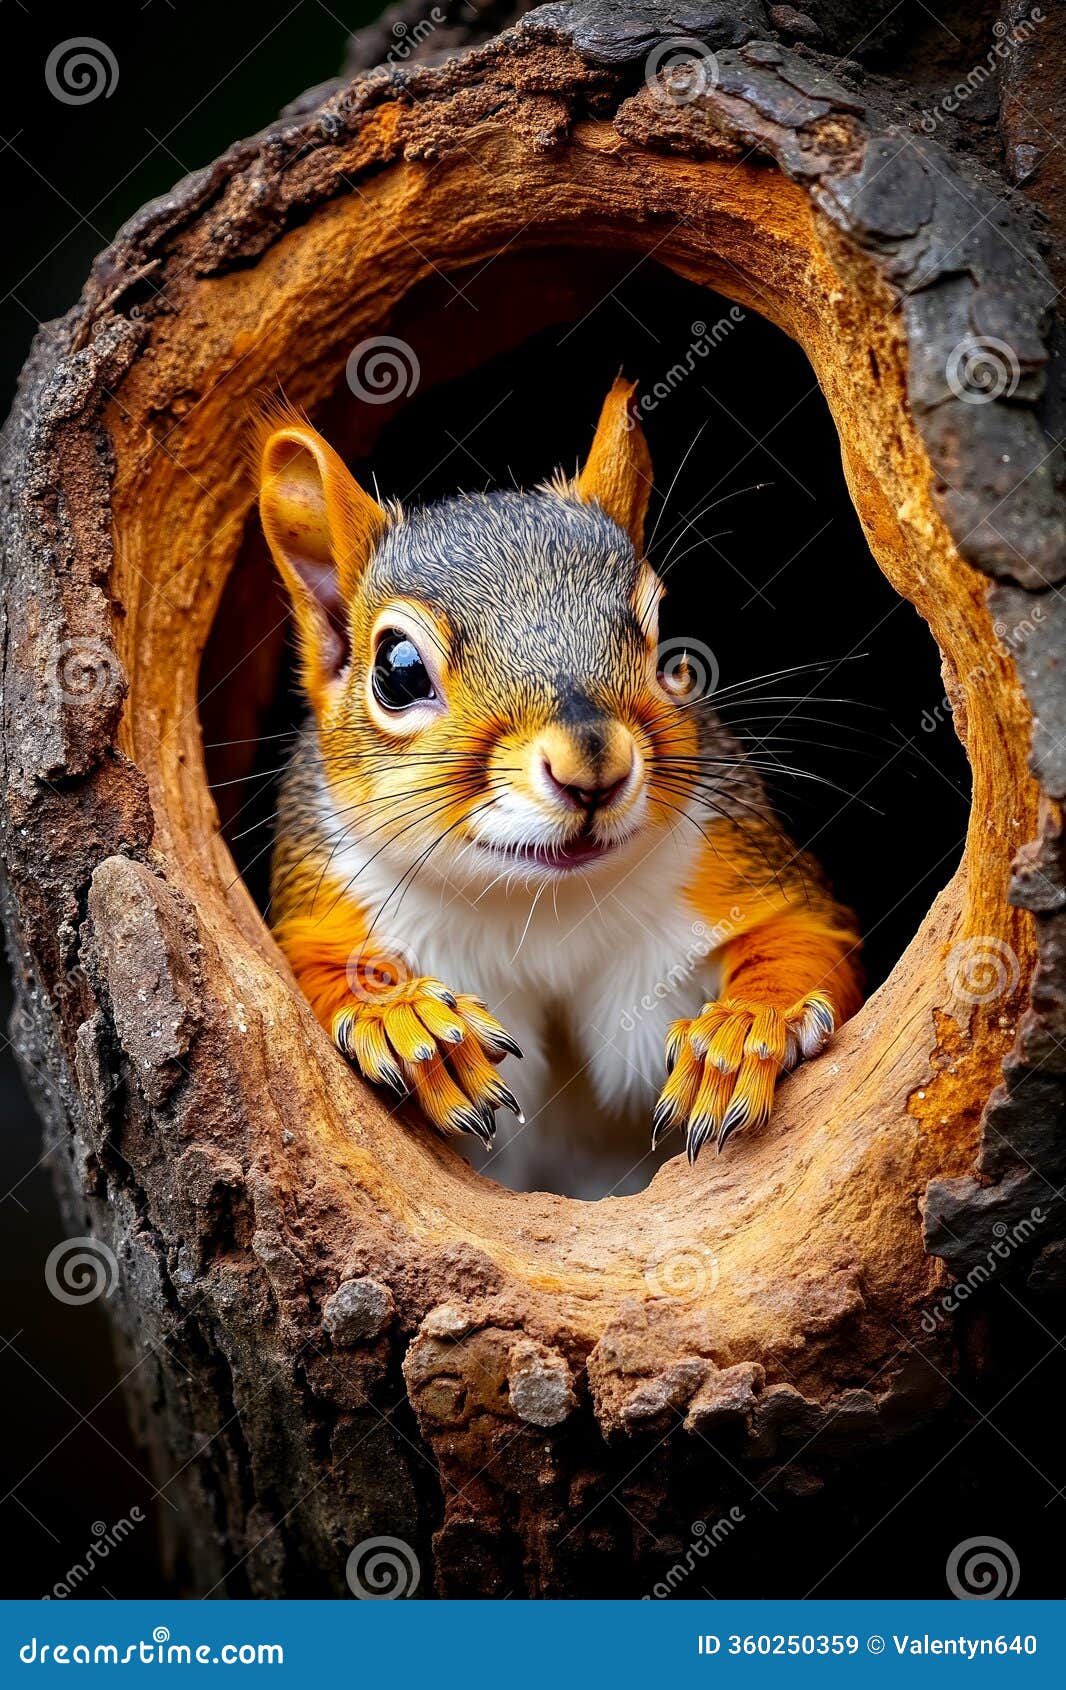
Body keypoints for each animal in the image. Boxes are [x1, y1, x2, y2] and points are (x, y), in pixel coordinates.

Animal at [255, 378, 863, 1195]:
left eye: (662, 634)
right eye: (398, 671)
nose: (591, 767)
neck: (540, 909)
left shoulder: (738, 863)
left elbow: (801, 941)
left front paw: (744, 1029)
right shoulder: (323, 899)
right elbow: (313, 970)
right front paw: (404, 1019)